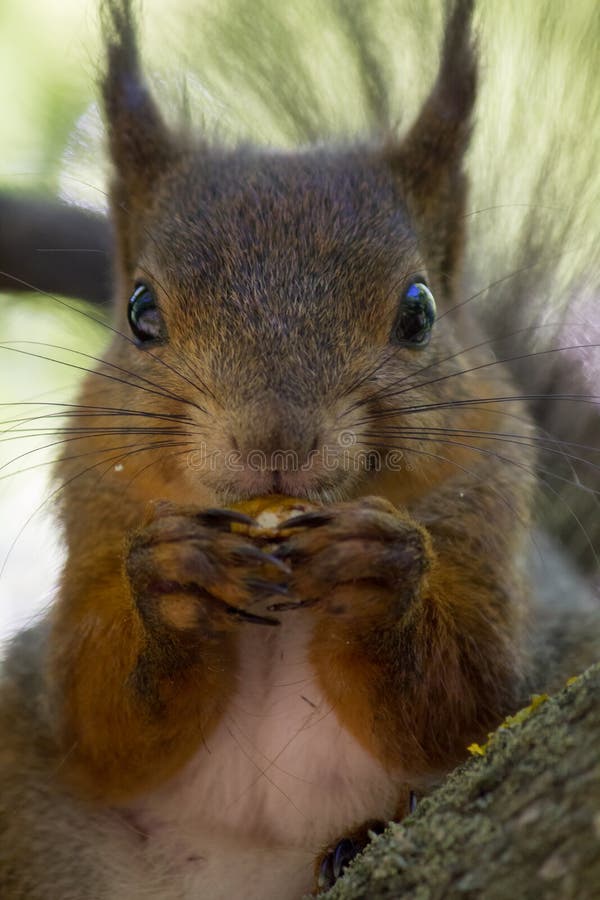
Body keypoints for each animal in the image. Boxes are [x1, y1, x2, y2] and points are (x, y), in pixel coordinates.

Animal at [0, 1, 598, 898]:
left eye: (419, 311)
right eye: (140, 311)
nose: (274, 439)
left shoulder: (493, 519)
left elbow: (470, 694)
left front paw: (381, 573)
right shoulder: (95, 516)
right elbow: (97, 718)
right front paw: (172, 581)